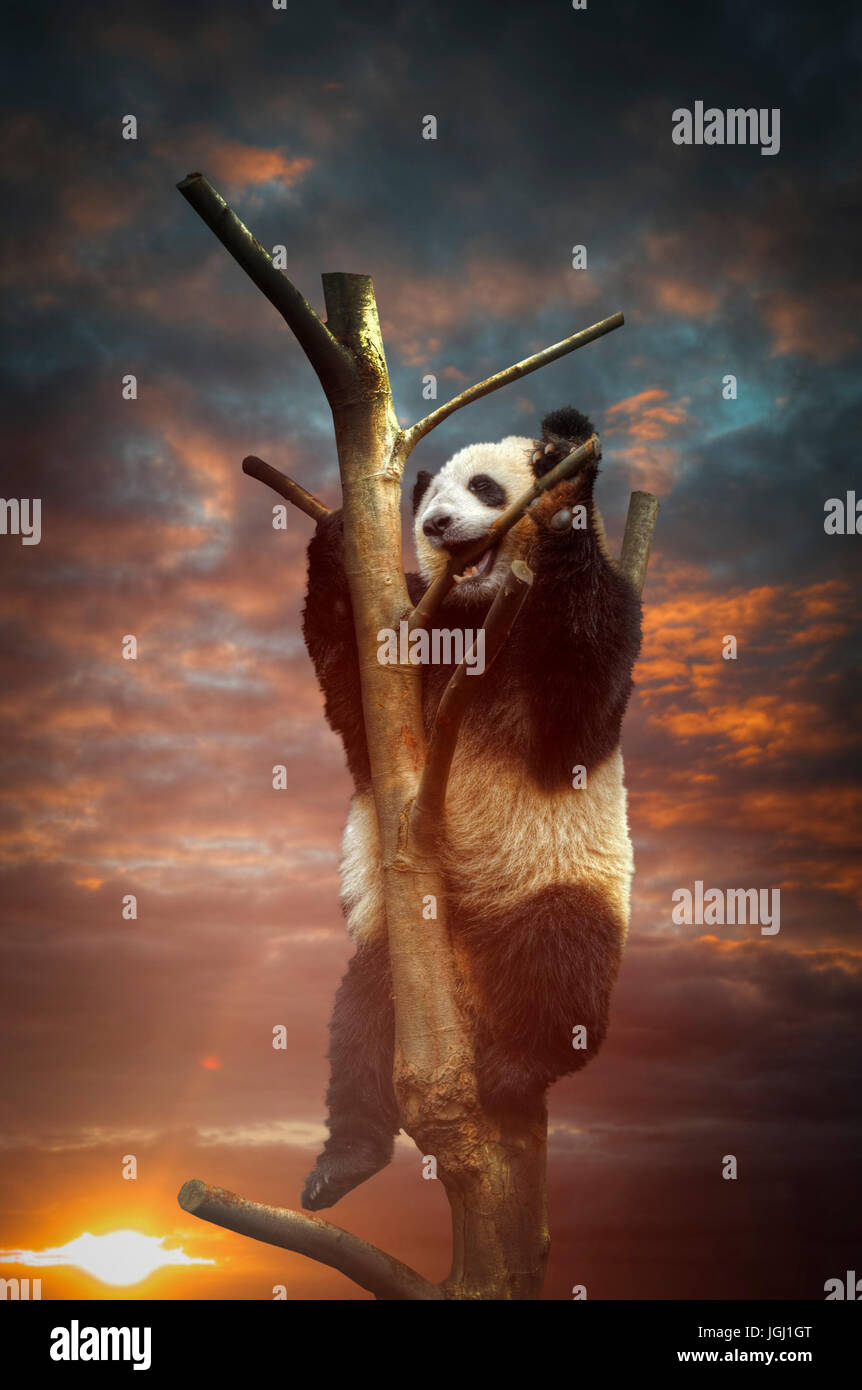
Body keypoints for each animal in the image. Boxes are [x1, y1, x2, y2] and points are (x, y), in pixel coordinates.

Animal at [300, 407, 642, 1210]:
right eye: (426, 504)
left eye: (485, 486)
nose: (438, 523)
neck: (480, 609)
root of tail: (473, 1005)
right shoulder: (417, 644)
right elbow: (357, 716)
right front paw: (335, 541)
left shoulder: (585, 635)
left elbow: (577, 704)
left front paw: (565, 470)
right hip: (398, 960)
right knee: (360, 1026)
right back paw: (344, 1160)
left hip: (559, 881)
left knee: (562, 960)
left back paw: (517, 1070)